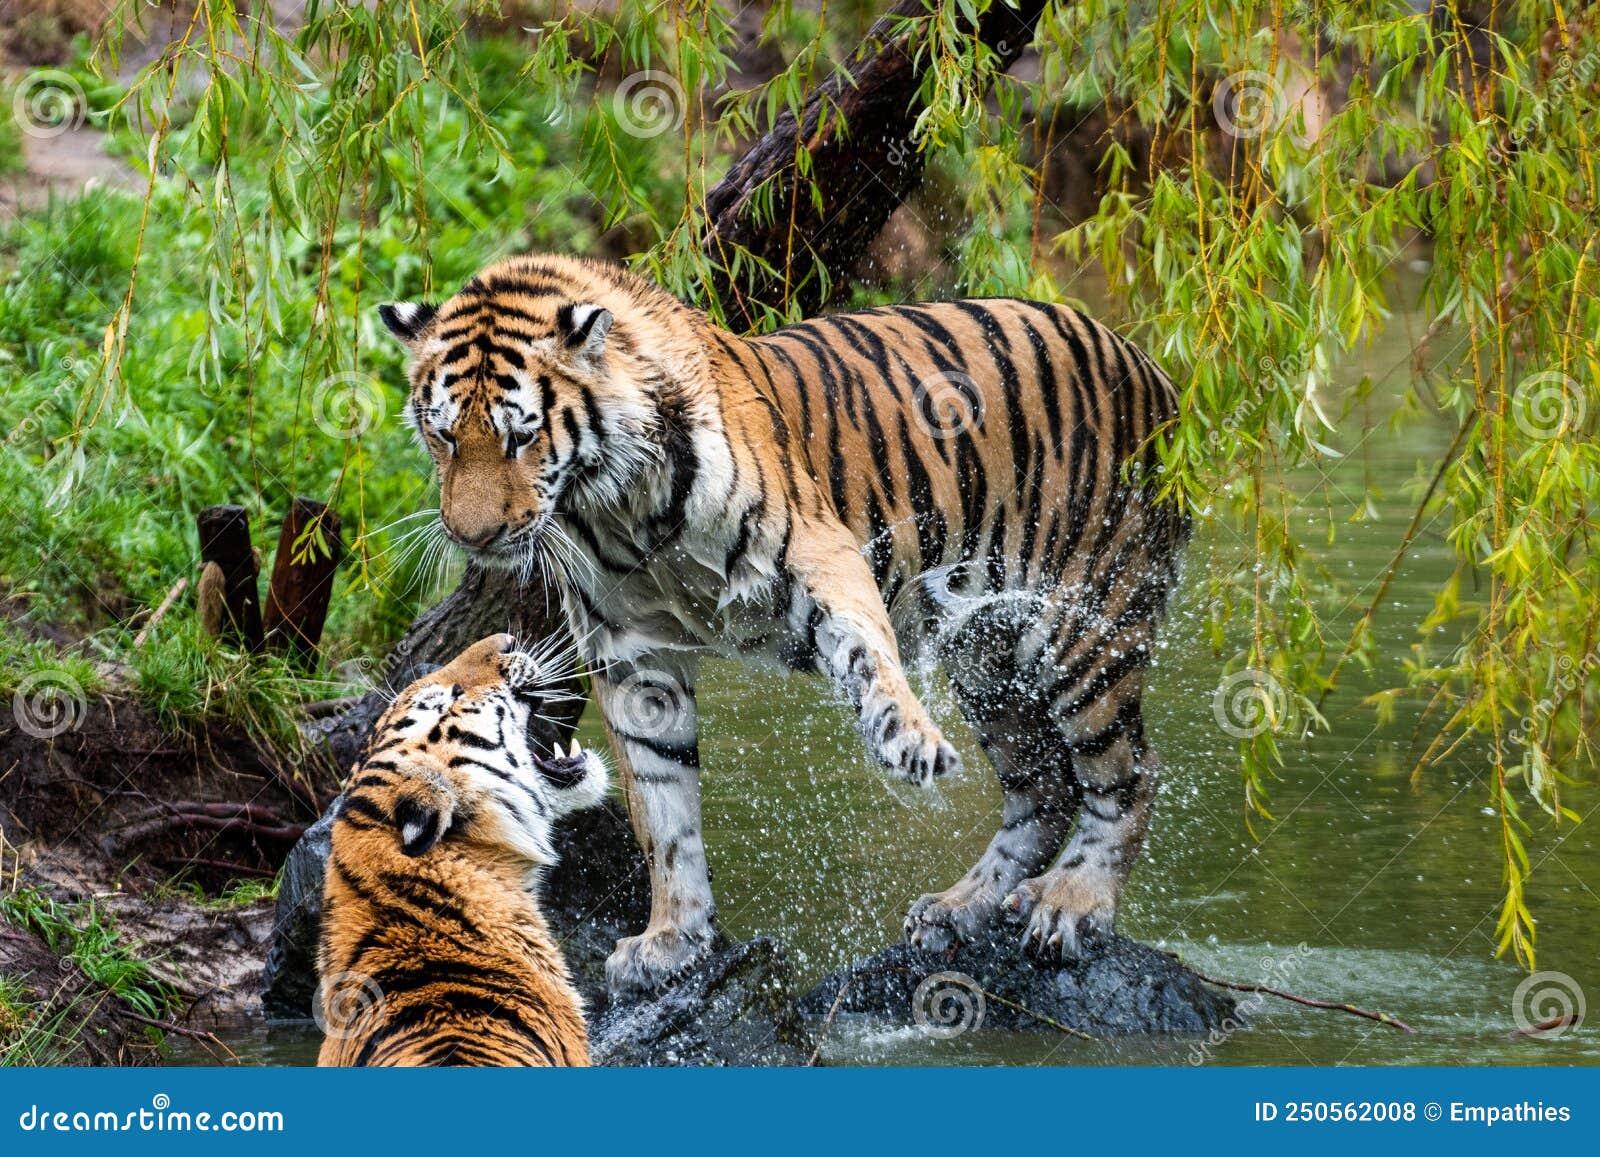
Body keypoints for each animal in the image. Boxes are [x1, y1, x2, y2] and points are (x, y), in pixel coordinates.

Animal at [378, 254, 1190, 997]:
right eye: (443, 436)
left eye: (520, 437)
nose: (473, 536)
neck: (616, 509)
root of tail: (1150, 366)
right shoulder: (635, 659)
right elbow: (662, 811)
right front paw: (672, 939)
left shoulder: (820, 552)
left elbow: (869, 655)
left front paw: (910, 743)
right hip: (987, 656)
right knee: (1043, 785)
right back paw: (960, 907)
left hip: (1086, 624)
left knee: (1130, 773)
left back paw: (1071, 905)